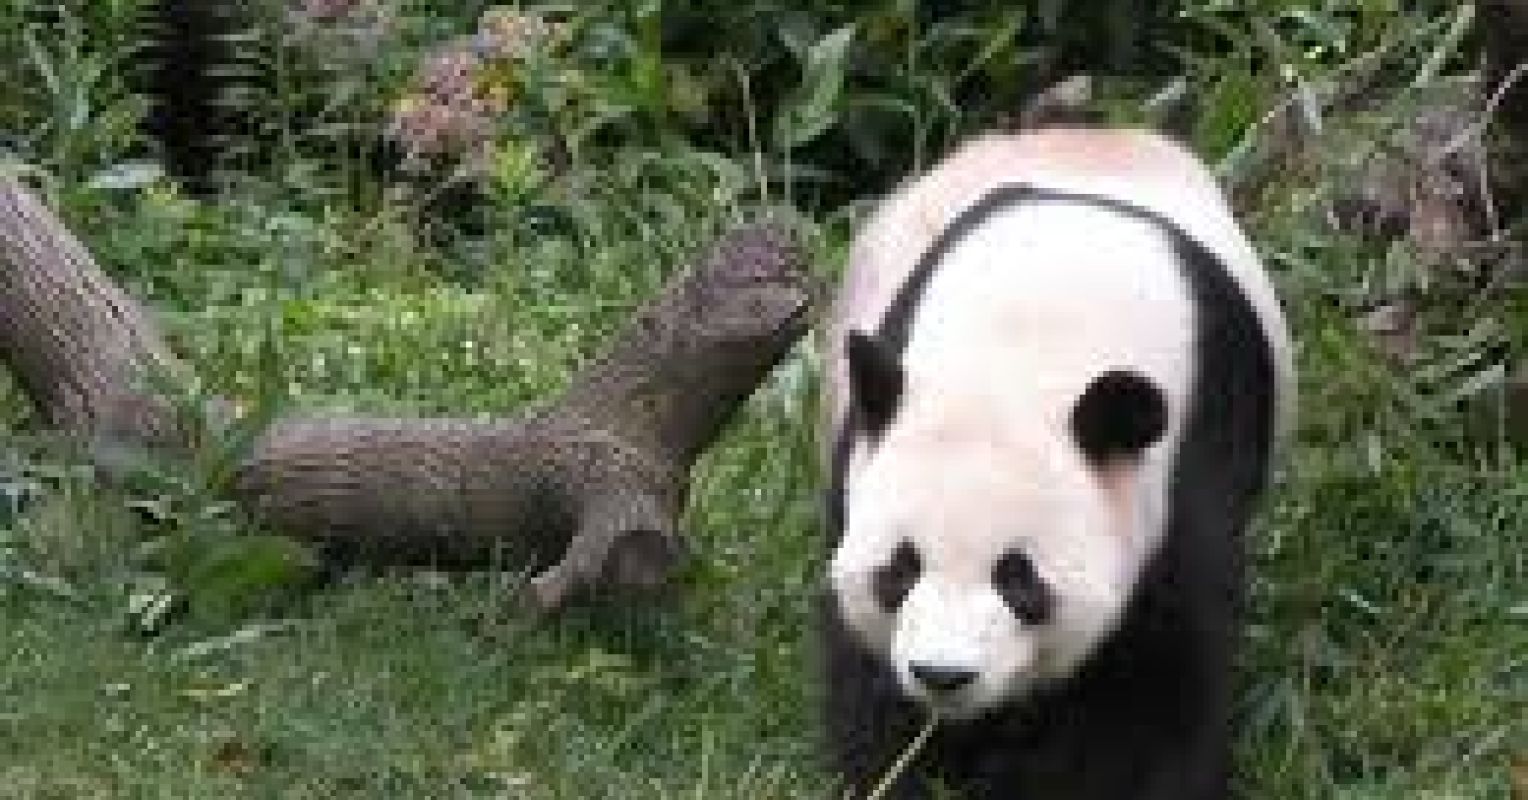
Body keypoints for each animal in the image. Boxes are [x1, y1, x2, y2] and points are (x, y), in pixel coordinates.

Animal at [819, 125, 1293, 799]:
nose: (942, 675)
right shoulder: (860, 469)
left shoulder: (1191, 459)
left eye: (1019, 578)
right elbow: (864, 677)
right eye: (902, 568)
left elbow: (1159, 691)